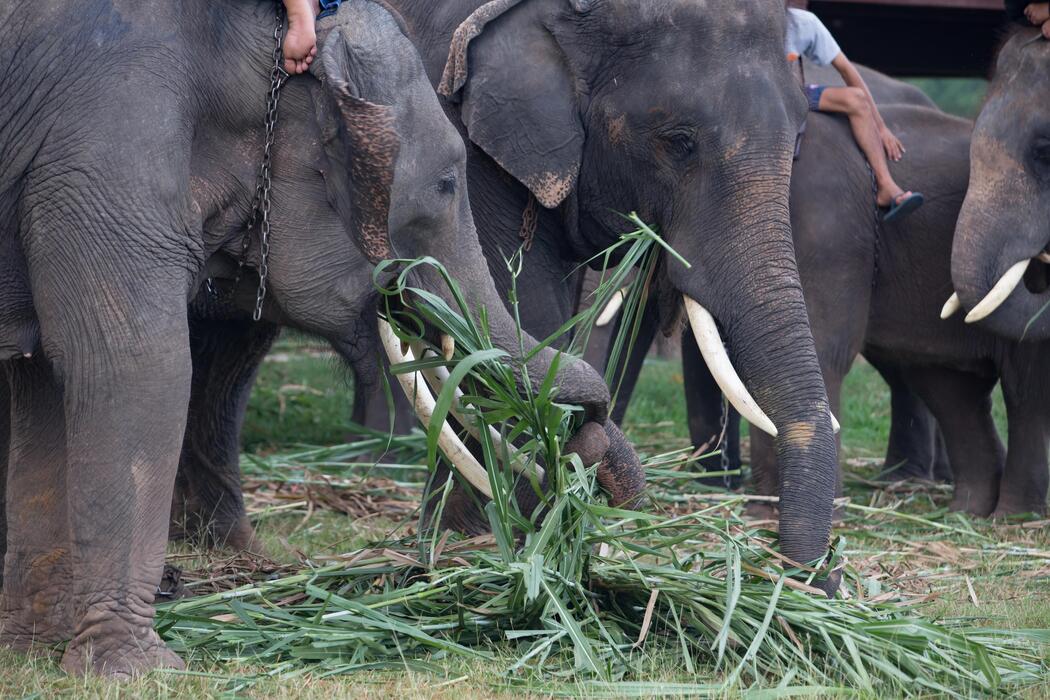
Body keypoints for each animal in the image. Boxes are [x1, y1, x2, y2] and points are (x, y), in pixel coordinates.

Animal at [0, 0, 641, 676]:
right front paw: (142, 670)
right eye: (446, 183)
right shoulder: (110, 149)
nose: (589, 434)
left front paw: (36, 651)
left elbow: (46, 383)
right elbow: (131, 364)